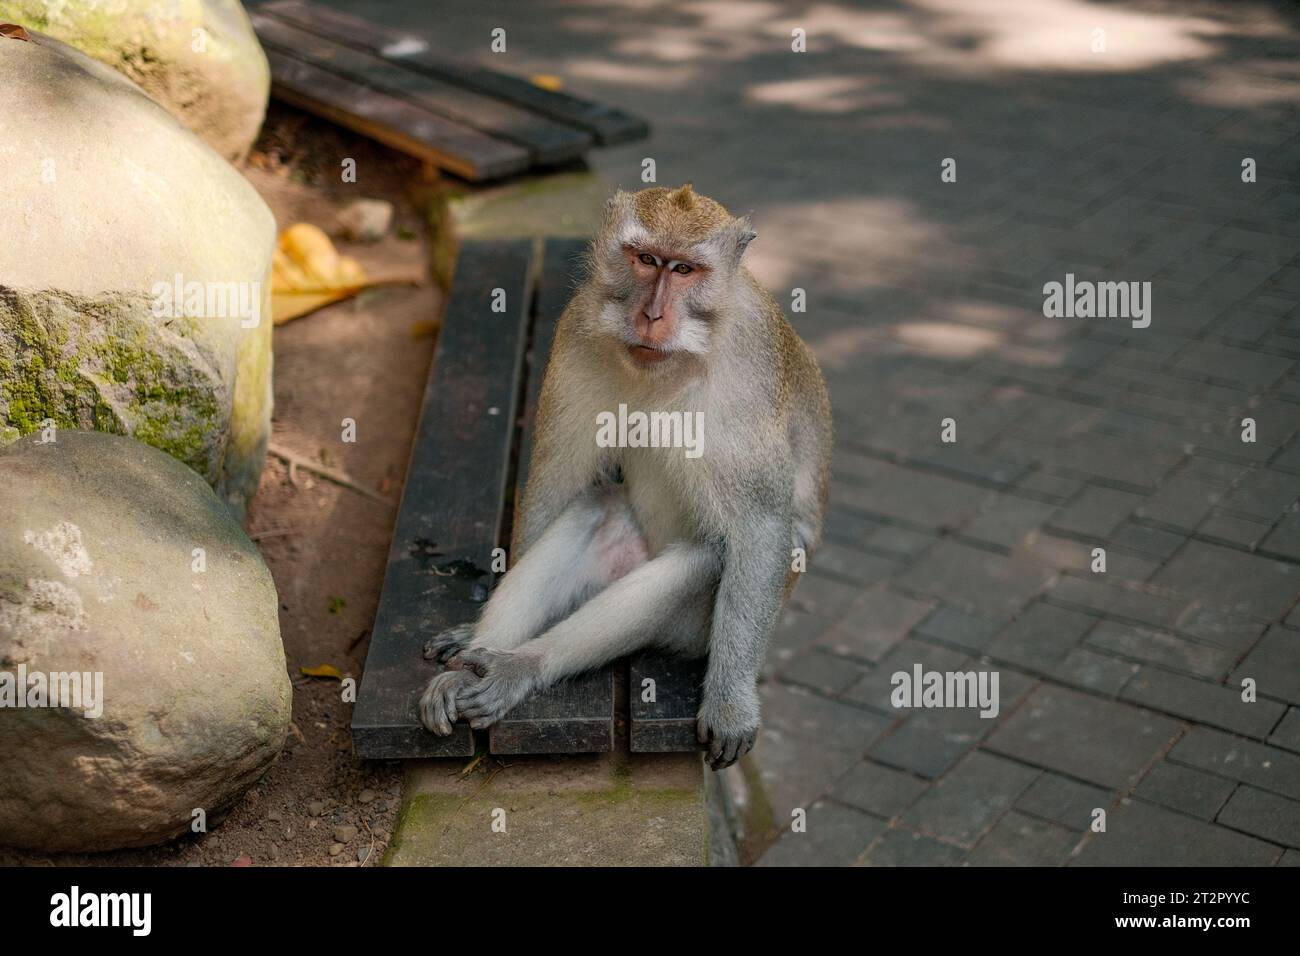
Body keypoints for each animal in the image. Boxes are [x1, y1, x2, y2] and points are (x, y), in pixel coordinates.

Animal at [418, 184, 832, 770]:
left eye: (684, 269)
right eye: (644, 260)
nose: (651, 314)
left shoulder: (747, 365)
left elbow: (760, 529)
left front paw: (730, 705)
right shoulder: (577, 329)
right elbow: (557, 483)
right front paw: (471, 638)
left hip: (694, 630)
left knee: (703, 557)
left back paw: (522, 666)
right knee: (592, 507)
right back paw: (477, 659)